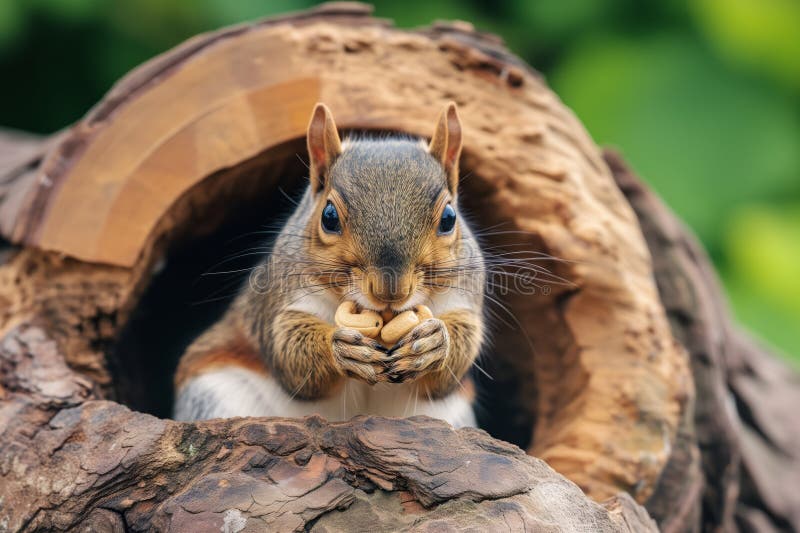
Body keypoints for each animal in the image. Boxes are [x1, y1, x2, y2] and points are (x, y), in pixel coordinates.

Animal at [173, 102, 486, 428]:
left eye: (449, 218)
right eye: (329, 217)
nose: (390, 290)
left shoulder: (464, 296)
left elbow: (459, 350)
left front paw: (436, 342)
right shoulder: (282, 298)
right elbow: (289, 349)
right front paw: (339, 348)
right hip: (213, 393)